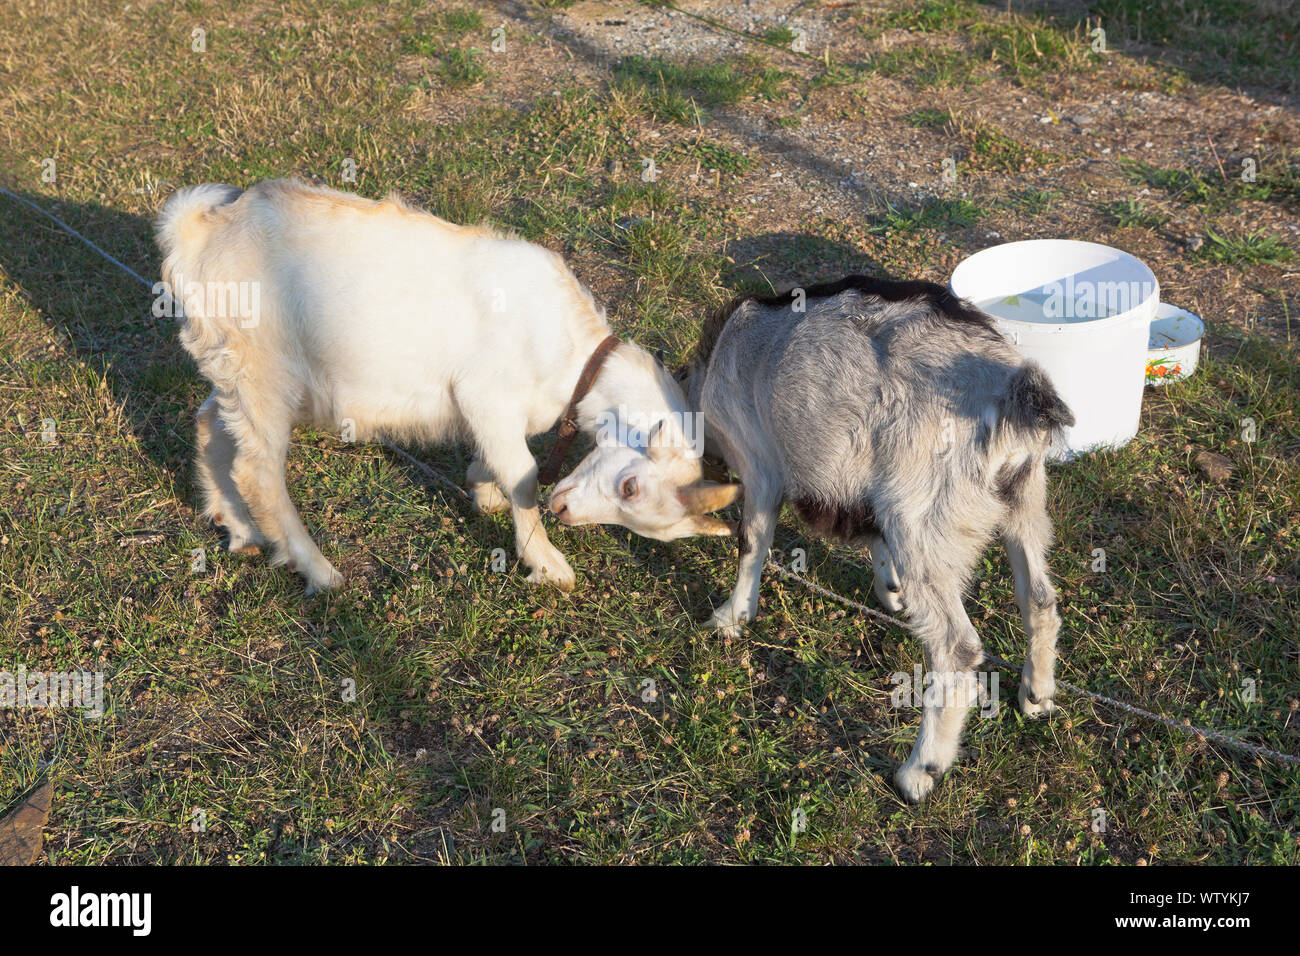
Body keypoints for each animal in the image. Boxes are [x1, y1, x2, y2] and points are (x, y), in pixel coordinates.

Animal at [155, 178, 726, 593]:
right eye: (631, 487)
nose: (563, 513)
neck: (572, 354)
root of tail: (198, 232)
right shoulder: (486, 394)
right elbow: (525, 475)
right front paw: (546, 562)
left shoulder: (491, 413)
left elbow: (499, 462)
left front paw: (483, 488)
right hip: (263, 369)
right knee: (258, 471)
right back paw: (319, 571)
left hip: (229, 364)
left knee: (211, 425)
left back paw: (239, 529)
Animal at [548, 276, 1075, 801]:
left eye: (629, 487)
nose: (559, 506)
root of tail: (1014, 394)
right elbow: (875, 541)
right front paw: (891, 591)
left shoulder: (760, 465)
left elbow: (752, 541)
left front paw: (732, 617)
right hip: (1024, 501)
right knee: (1040, 598)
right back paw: (1036, 696)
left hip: (922, 514)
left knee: (957, 647)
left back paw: (920, 772)